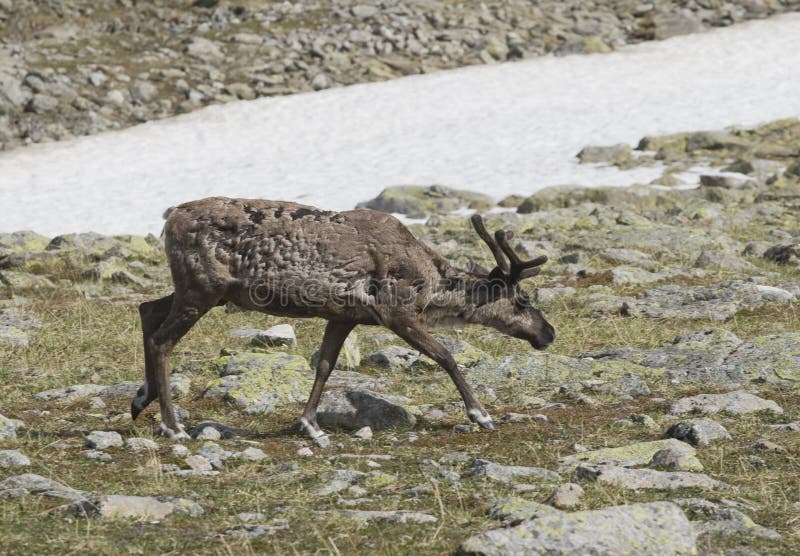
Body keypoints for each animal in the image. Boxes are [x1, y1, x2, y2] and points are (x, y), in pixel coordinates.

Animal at [131, 197, 554, 445]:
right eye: (521, 299)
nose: (548, 333)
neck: (431, 287)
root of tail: (169, 217)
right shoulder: (396, 312)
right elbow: (446, 356)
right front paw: (481, 415)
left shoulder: (344, 316)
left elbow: (325, 365)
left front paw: (310, 424)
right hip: (202, 287)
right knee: (163, 339)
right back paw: (173, 426)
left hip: (206, 291)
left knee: (147, 309)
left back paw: (141, 398)